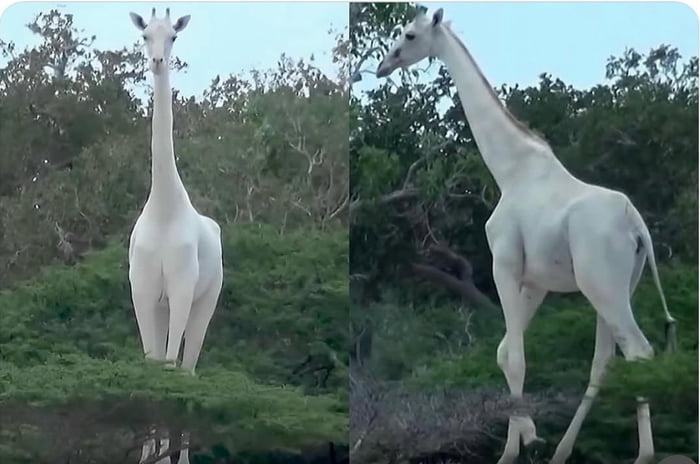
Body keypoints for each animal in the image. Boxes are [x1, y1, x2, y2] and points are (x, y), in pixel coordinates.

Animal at [375, 8, 676, 464]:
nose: (382, 65)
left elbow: (514, 357)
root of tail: (636, 225)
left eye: (409, 35)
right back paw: (564, 450)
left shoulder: (504, 263)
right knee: (606, 360)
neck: (510, 171)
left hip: (601, 284)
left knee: (638, 352)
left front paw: (521, 445)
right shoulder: (536, 280)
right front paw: (523, 441)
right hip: (620, 284)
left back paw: (641, 454)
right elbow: (504, 353)